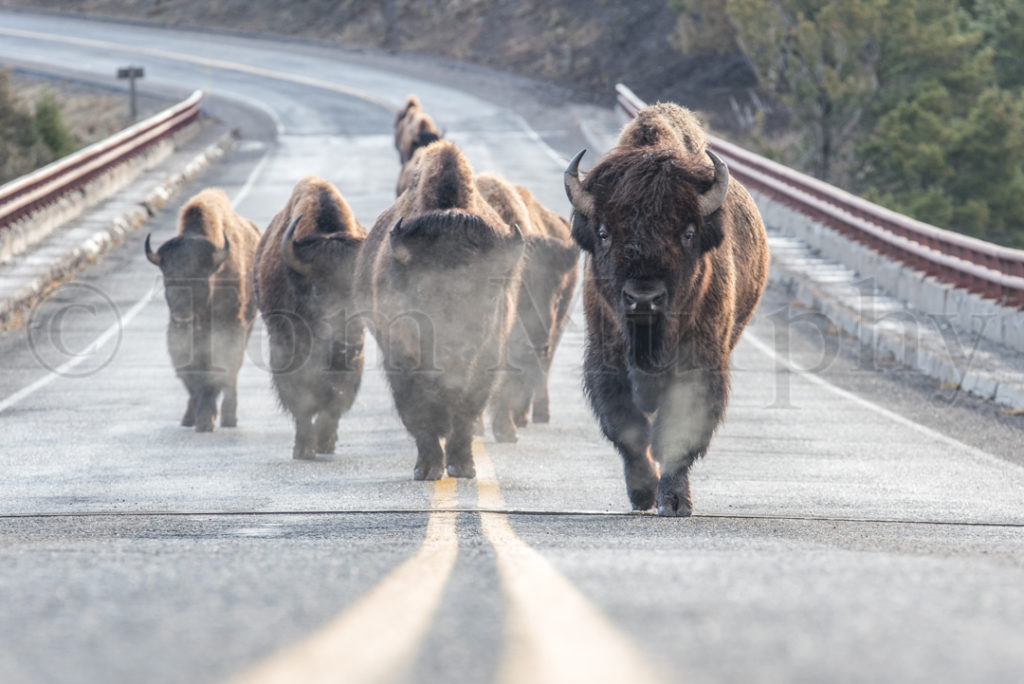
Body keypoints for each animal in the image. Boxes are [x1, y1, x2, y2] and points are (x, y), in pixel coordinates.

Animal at [144, 188, 260, 432]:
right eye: (168, 279)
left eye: (201, 279)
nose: (183, 320)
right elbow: (192, 375)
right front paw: (195, 416)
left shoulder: (228, 331)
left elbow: (216, 373)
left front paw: (206, 419)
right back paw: (189, 417)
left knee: (232, 375)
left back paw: (228, 418)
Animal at [254, 176, 367, 460]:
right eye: (318, 290)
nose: (346, 344)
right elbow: (300, 399)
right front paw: (304, 448)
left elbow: (335, 400)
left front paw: (324, 442)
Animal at [357, 140, 525, 480]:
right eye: (421, 291)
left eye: (489, 294)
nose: (453, 350)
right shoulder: (401, 358)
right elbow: (418, 411)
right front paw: (427, 468)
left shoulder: (485, 360)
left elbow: (466, 411)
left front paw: (462, 466)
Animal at [563, 102, 770, 516]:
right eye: (605, 232)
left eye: (688, 232)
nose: (644, 298)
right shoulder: (607, 358)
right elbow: (628, 429)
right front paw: (643, 493)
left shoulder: (698, 363)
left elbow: (677, 431)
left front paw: (674, 501)